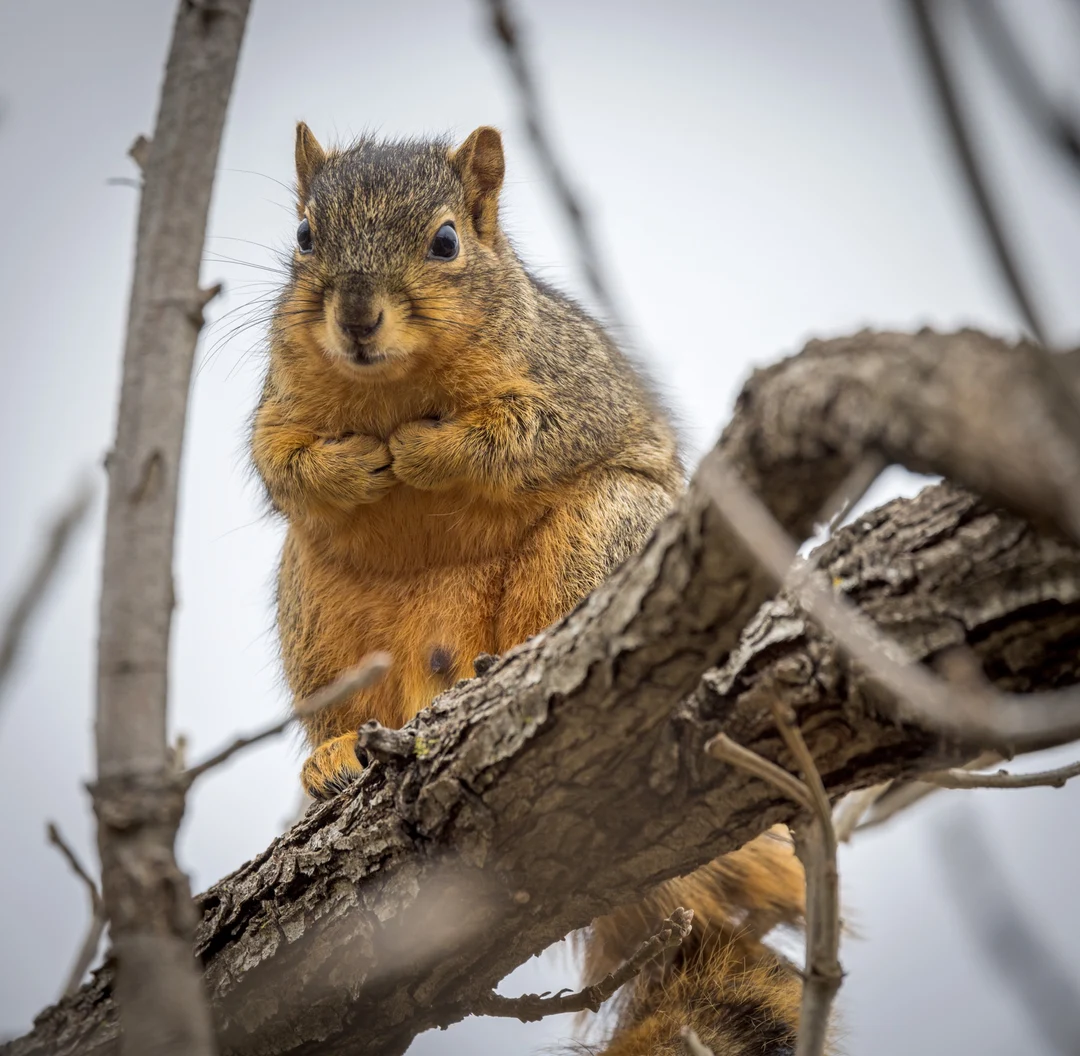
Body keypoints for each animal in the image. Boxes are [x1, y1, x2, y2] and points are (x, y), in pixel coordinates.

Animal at [251, 123, 810, 1054]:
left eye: (446, 241)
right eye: (303, 237)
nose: (357, 317)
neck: (390, 386)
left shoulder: (564, 387)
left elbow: (517, 440)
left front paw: (417, 450)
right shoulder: (278, 402)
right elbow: (282, 464)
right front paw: (358, 461)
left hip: (601, 538)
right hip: (318, 606)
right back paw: (335, 757)